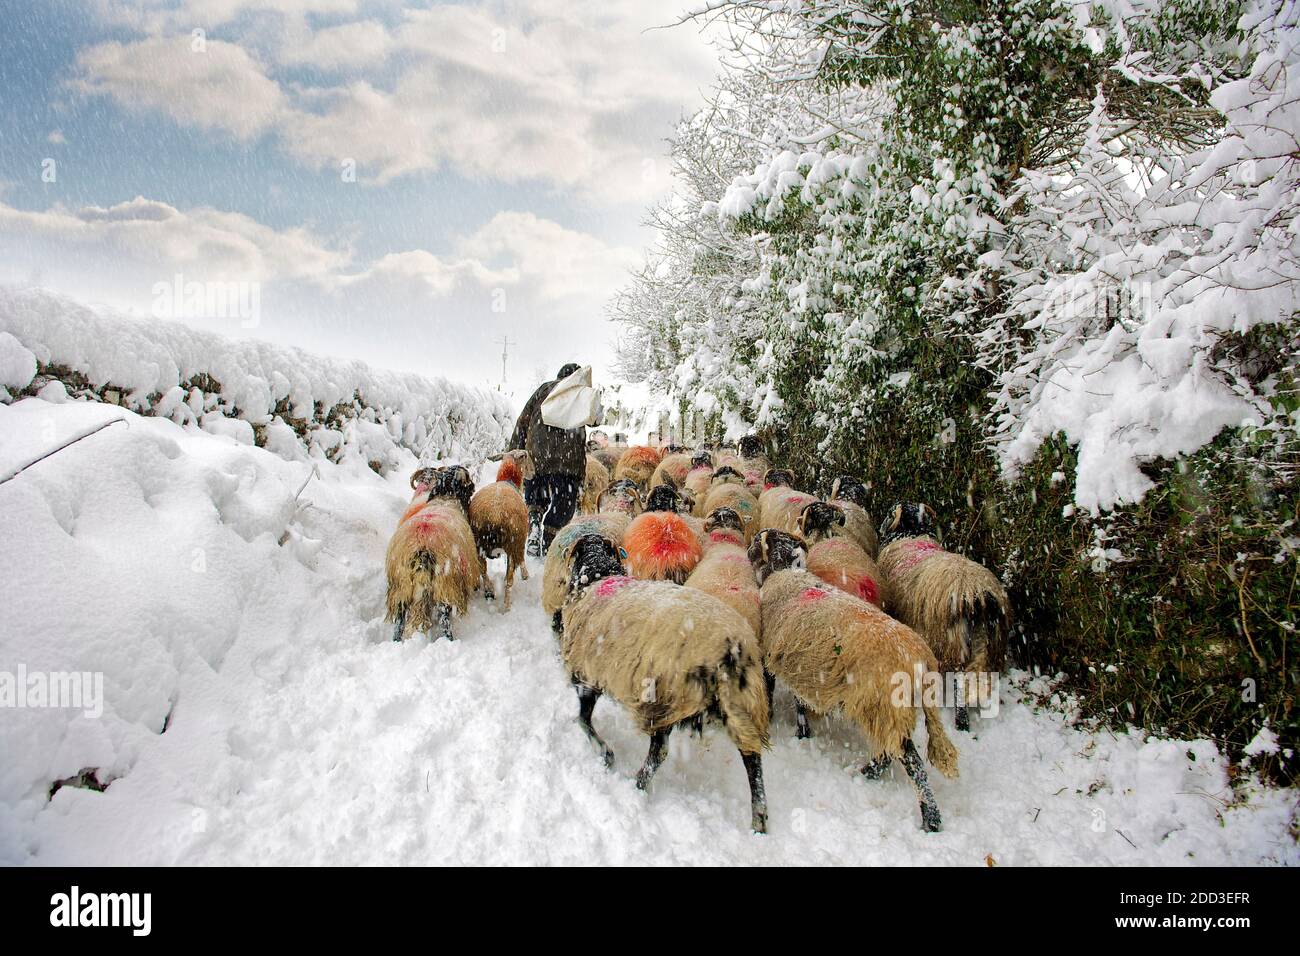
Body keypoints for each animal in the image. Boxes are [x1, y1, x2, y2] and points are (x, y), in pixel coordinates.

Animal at [386, 467, 483, 642]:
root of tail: (422, 546)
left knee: (399, 621)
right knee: (444, 619)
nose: (473, 488)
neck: (446, 498)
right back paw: (449, 641)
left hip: (401, 585)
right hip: (445, 583)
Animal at [467, 451, 533, 612]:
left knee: (483, 570)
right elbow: (522, 560)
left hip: (478, 544)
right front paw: (525, 575)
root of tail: (495, 515)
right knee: (508, 581)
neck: (508, 480)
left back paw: (489, 591)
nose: (533, 474)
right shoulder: (520, 542)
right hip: (513, 543)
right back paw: (506, 607)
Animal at [559, 533, 770, 833]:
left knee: (659, 752)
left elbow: (583, 719)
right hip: (744, 700)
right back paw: (759, 818)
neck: (597, 576)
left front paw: (605, 753)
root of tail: (730, 647)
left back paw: (637, 785)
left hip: (663, 693)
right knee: (752, 757)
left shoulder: (586, 673)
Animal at [749, 529, 959, 832]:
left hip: (883, 705)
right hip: (891, 710)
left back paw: (928, 817)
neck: (786, 572)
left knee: (910, 760)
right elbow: (801, 702)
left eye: (758, 541)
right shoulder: (801, 663)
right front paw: (804, 732)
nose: (748, 547)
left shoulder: (772, 656)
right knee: (893, 748)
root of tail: (922, 659)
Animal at [877, 503, 1012, 732]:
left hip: (952, 641)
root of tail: (979, 595)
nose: (880, 528)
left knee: (960, 685)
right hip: (987, 643)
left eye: (889, 513)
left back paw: (961, 723)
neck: (911, 532)